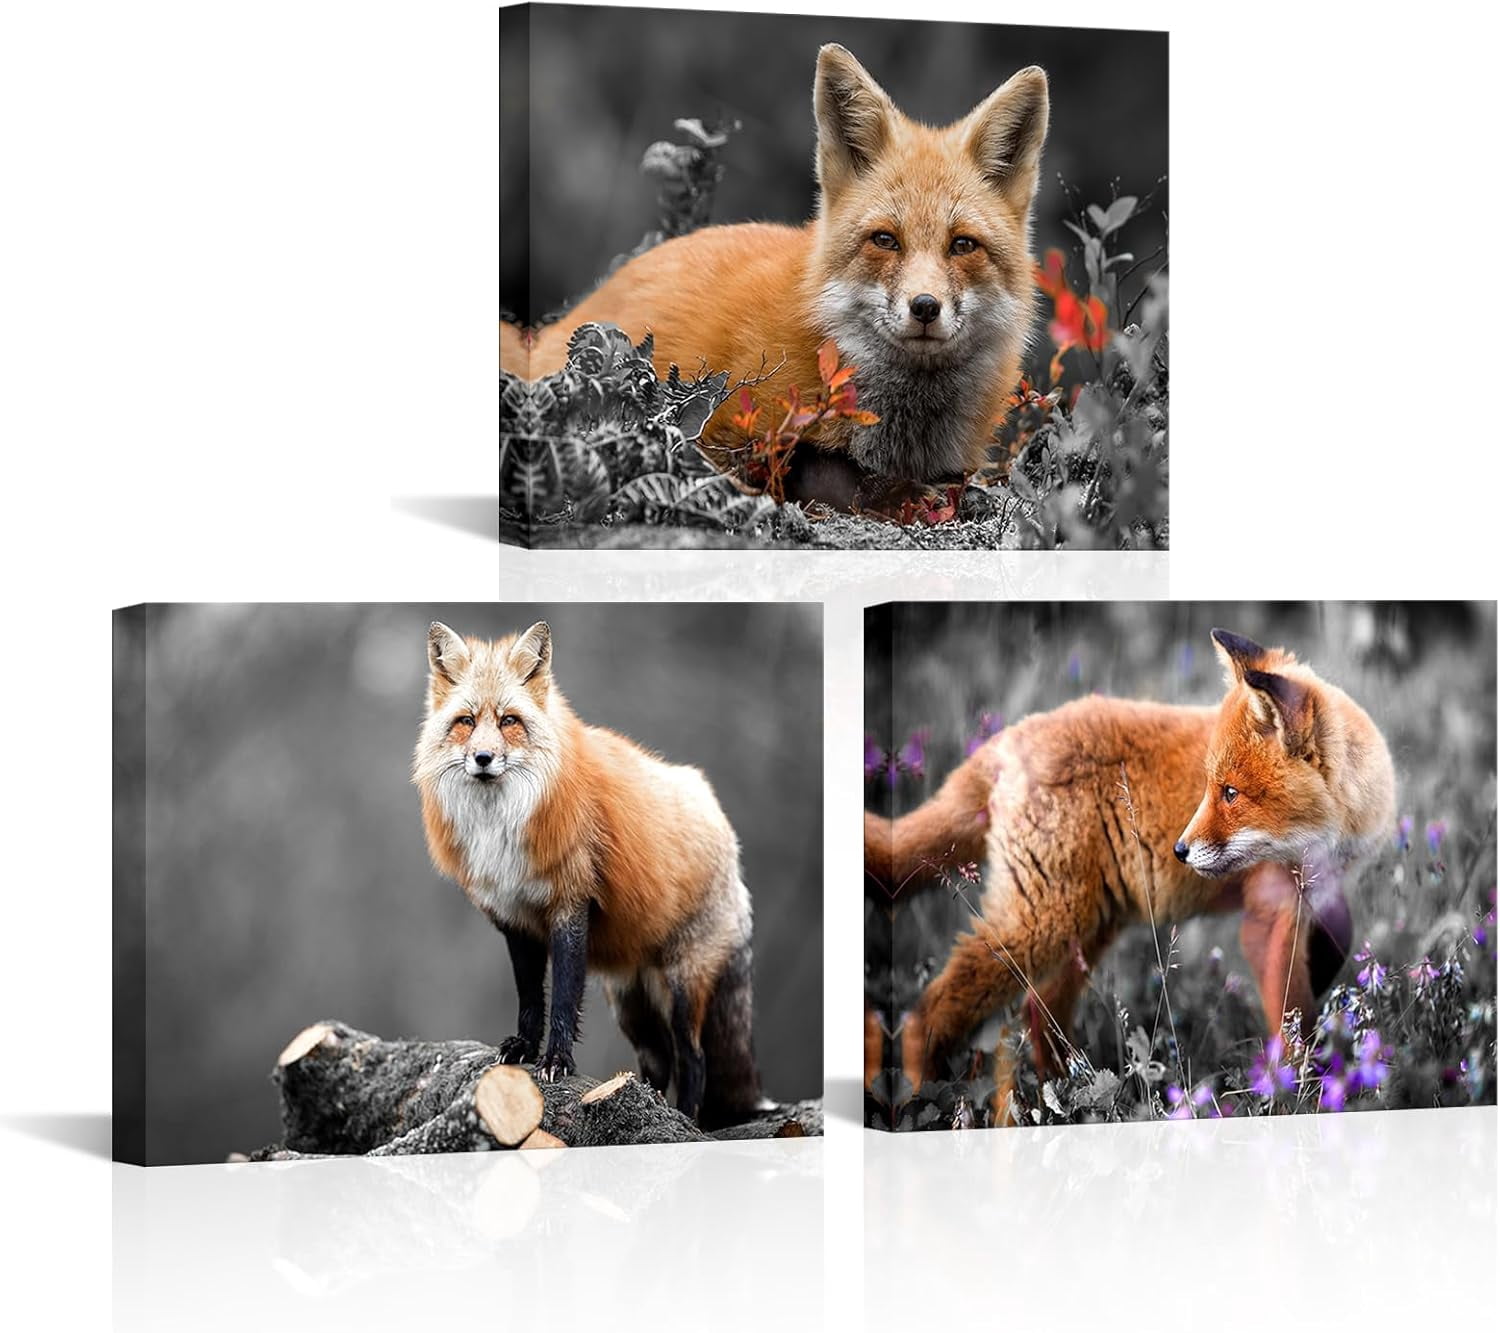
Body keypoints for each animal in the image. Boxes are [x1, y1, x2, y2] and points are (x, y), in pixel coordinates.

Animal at [412, 619, 767, 1127]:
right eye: (466, 722)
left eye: (508, 721)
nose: (483, 759)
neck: (500, 827)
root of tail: (722, 824)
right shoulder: (516, 919)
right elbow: (530, 999)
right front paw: (523, 1048)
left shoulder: (570, 905)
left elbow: (561, 998)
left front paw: (557, 1060)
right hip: (631, 1003)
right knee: (658, 1061)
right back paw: (644, 1105)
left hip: (683, 985)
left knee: (693, 1058)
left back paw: (686, 1120)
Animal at [864, 628, 1397, 1120]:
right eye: (1213, 788)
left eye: (1229, 793)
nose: (1179, 850)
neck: (1338, 828)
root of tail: (1007, 737)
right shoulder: (1268, 916)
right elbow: (1291, 1010)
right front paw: (1300, 1088)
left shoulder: (1321, 893)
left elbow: (1335, 946)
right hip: (1041, 927)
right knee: (928, 1015)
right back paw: (923, 1100)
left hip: (1088, 928)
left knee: (1038, 1011)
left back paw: (1067, 1091)